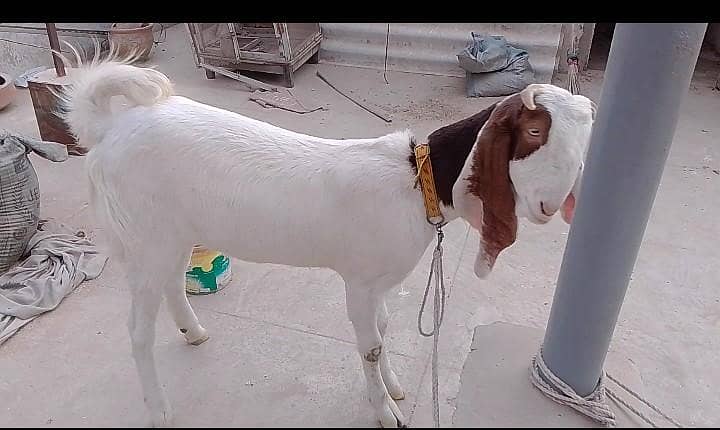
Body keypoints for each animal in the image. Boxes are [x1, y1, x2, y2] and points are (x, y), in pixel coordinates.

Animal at [58, 56, 595, 427]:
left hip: (170, 234)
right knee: (137, 330)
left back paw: (193, 332)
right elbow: (371, 346)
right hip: (144, 235)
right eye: (533, 131)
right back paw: (161, 410)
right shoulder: (358, 283)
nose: (552, 205)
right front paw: (385, 412)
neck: (414, 182)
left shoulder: (378, 285)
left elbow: (384, 330)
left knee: (171, 282)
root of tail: (108, 127)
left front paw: (394, 388)